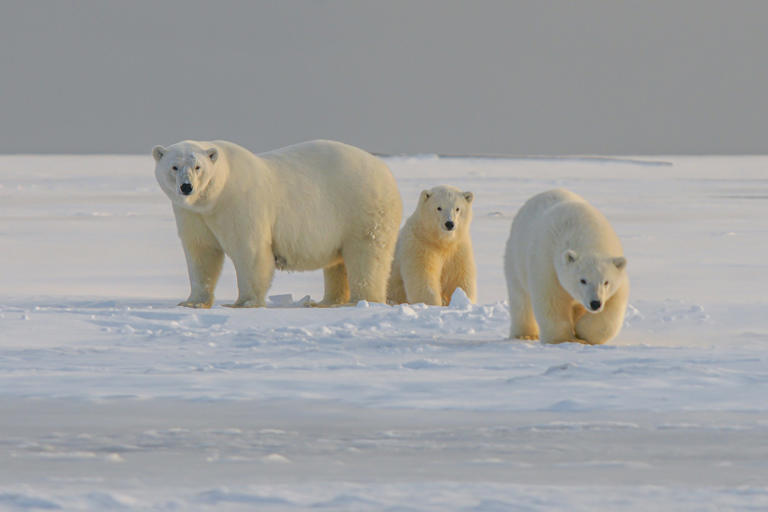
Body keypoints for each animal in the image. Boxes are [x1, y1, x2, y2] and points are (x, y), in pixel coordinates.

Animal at [152, 139, 402, 308]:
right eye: (174, 166)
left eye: (198, 167)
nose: (186, 187)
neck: (215, 197)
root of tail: (385, 170)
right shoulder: (192, 214)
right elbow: (201, 253)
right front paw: (192, 302)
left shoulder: (240, 203)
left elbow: (250, 251)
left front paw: (244, 302)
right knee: (338, 263)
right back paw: (326, 301)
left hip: (361, 208)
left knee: (366, 255)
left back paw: (361, 300)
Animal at [503, 188, 628, 345]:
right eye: (583, 280)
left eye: (606, 282)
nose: (595, 303)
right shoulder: (547, 263)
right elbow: (552, 300)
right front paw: (562, 339)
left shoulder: (617, 276)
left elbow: (612, 308)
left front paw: (582, 333)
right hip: (515, 257)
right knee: (520, 299)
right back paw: (525, 335)